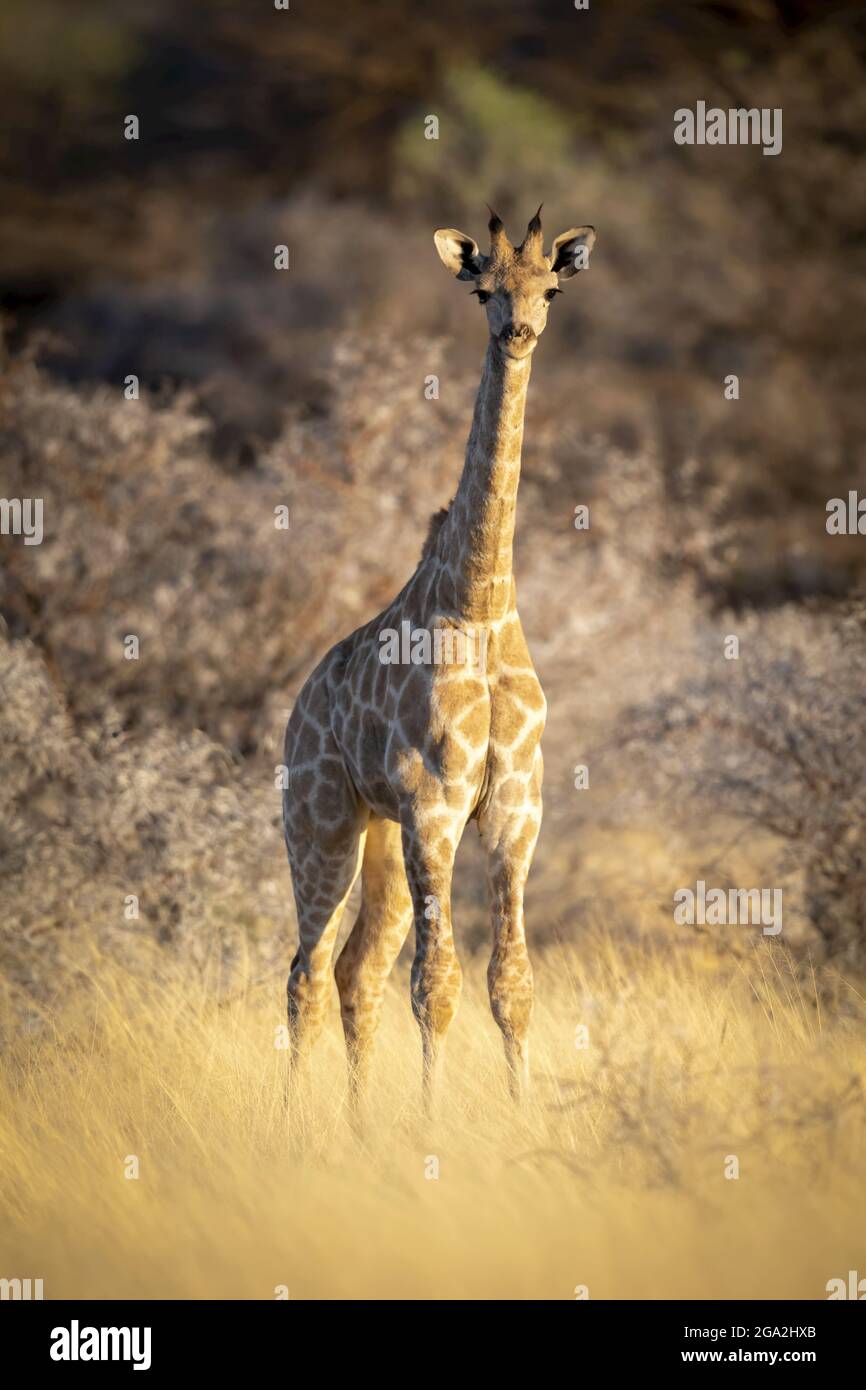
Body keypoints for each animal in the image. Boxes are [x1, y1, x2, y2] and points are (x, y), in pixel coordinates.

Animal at [282, 207, 596, 1110]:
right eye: (484, 289)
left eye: (551, 289)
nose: (518, 332)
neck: (480, 603)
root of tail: (299, 703)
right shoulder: (435, 804)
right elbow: (437, 986)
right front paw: (428, 1128)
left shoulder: (517, 809)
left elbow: (511, 986)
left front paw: (520, 1120)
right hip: (320, 823)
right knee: (307, 971)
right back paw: (291, 1126)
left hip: (381, 838)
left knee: (354, 970)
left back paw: (355, 1128)